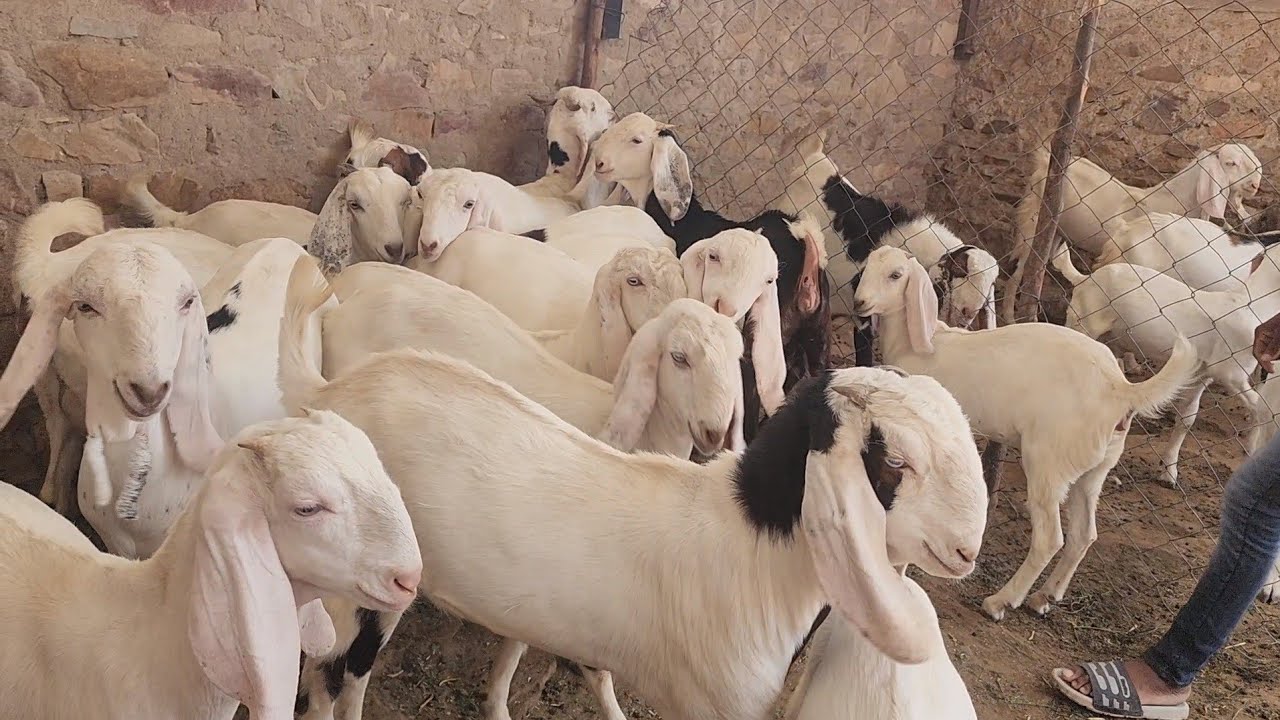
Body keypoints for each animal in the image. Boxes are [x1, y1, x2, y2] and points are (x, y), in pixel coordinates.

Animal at [277, 271, 987, 720]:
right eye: (894, 461)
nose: (967, 549)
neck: (751, 551)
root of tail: (331, 394)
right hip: (351, 593)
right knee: (330, 677)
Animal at [853, 245, 1198, 620]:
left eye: (896, 275)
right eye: (868, 265)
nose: (859, 302)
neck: (922, 343)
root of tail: (1120, 389)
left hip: (1049, 461)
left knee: (1050, 539)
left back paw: (1002, 601)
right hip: (1095, 468)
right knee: (1084, 535)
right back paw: (1045, 597)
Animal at [1054, 243, 1280, 486]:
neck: (1253, 302)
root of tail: (1084, 279)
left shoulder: (1201, 375)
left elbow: (1187, 419)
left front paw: (1169, 471)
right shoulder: (1231, 373)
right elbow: (1259, 408)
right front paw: (1253, 449)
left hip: (1111, 339)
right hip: (1082, 323)